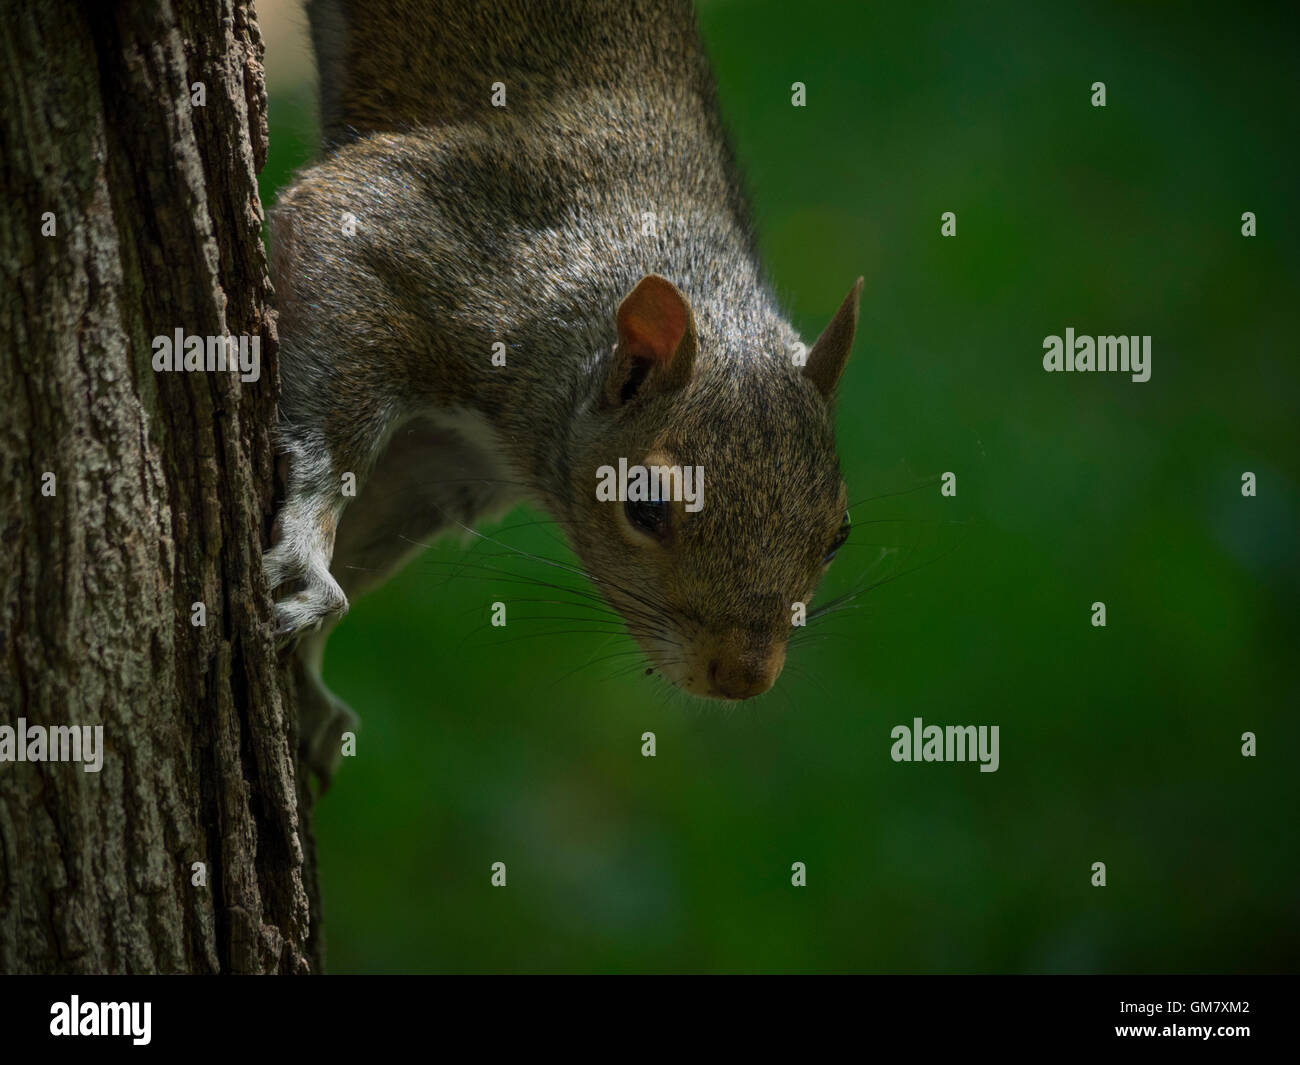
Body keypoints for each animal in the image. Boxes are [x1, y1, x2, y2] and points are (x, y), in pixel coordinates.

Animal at [264, 0, 863, 782]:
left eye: (838, 534)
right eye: (644, 504)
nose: (742, 675)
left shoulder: (448, 458)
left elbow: (376, 524)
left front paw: (307, 677)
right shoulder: (419, 229)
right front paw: (308, 554)